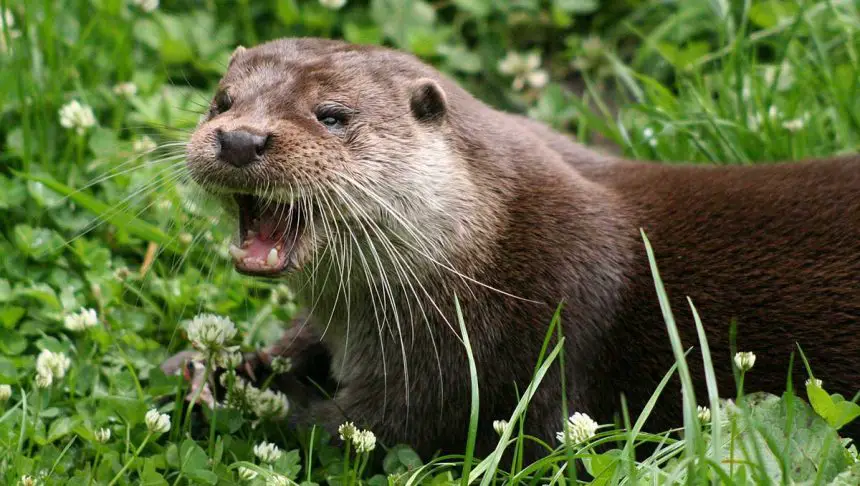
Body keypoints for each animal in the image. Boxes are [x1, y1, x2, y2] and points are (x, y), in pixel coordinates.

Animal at [169, 37, 860, 460]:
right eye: (221, 102)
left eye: (332, 115)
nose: (239, 138)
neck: (487, 259)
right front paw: (217, 363)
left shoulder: (478, 364)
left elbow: (345, 427)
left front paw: (227, 394)